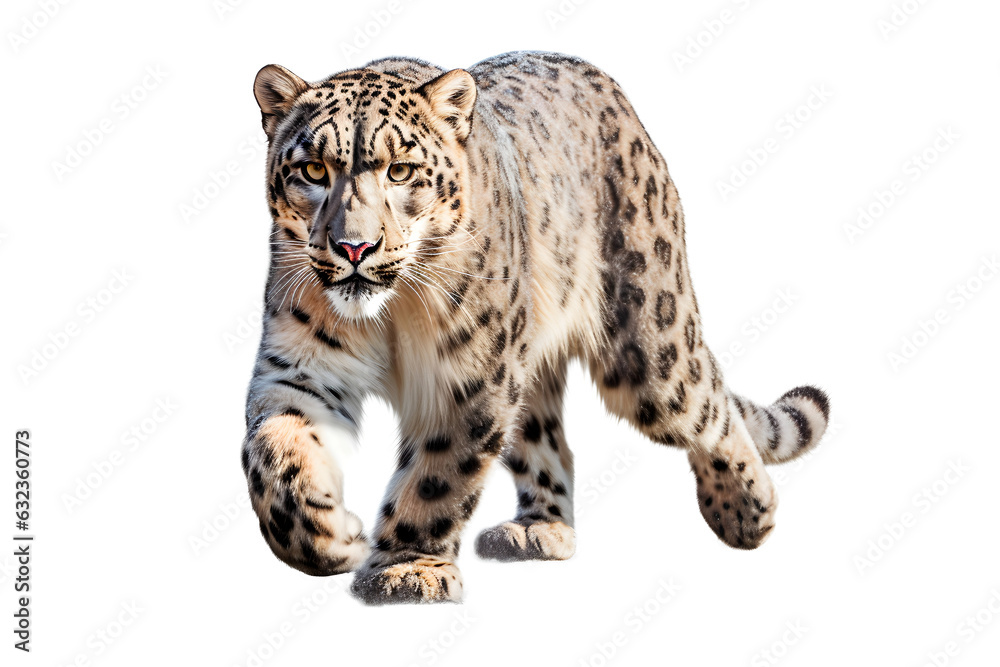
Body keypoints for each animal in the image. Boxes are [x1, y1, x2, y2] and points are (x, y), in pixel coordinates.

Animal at [241, 51, 831, 605]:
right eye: (314, 171)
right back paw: (538, 530)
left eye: (401, 171)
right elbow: (271, 451)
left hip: (647, 346)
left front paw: (406, 569)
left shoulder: (471, 378)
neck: (390, 316)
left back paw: (749, 511)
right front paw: (328, 537)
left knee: (709, 404)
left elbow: (436, 478)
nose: (354, 247)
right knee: (552, 443)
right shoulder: (300, 366)